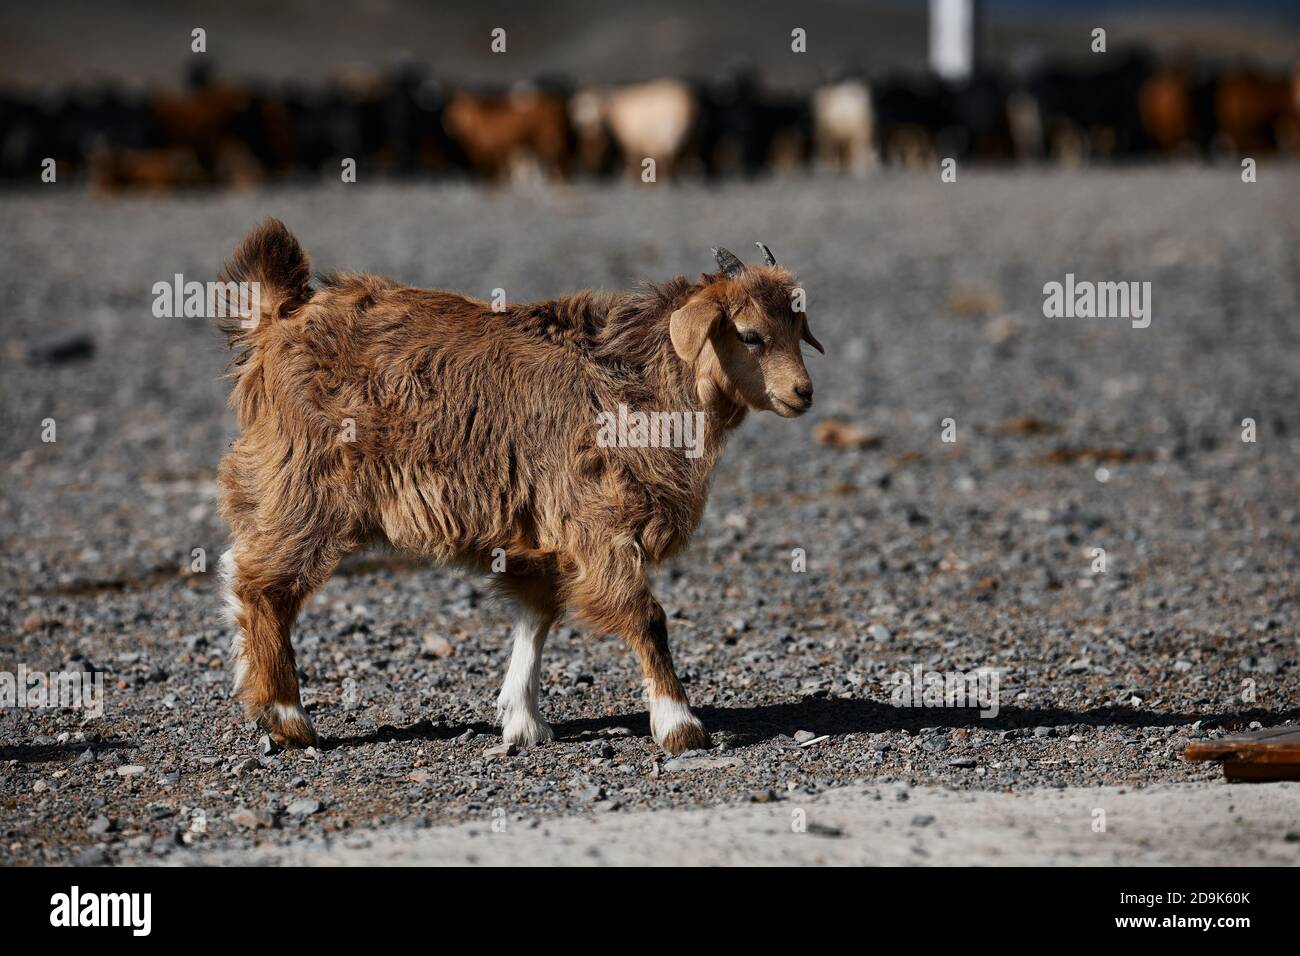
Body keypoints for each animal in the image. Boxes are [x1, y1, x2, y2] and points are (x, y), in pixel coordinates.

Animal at [216, 222, 823, 755]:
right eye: (749, 334)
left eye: (798, 329)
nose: (803, 392)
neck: (641, 382)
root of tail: (280, 318)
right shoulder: (595, 518)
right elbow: (646, 615)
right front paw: (680, 725)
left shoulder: (540, 533)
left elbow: (537, 616)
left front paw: (524, 721)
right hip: (303, 485)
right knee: (263, 586)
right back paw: (287, 718)